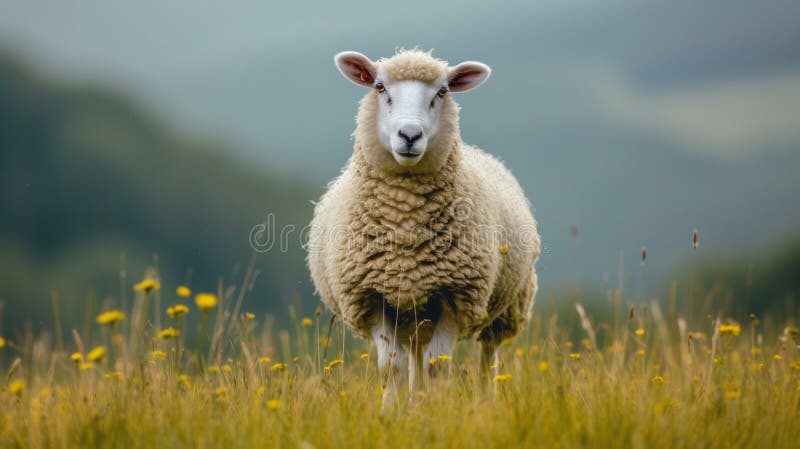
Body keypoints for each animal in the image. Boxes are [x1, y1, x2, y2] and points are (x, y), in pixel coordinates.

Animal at [307, 49, 540, 409]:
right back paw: (414, 404)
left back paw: (485, 402)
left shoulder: (456, 295)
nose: (409, 135)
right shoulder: (372, 298)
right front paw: (391, 413)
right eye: (379, 87)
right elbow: (391, 366)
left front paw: (436, 410)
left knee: (488, 357)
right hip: (414, 318)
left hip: (505, 307)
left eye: (442, 92)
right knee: (414, 360)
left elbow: (436, 367)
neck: (405, 224)